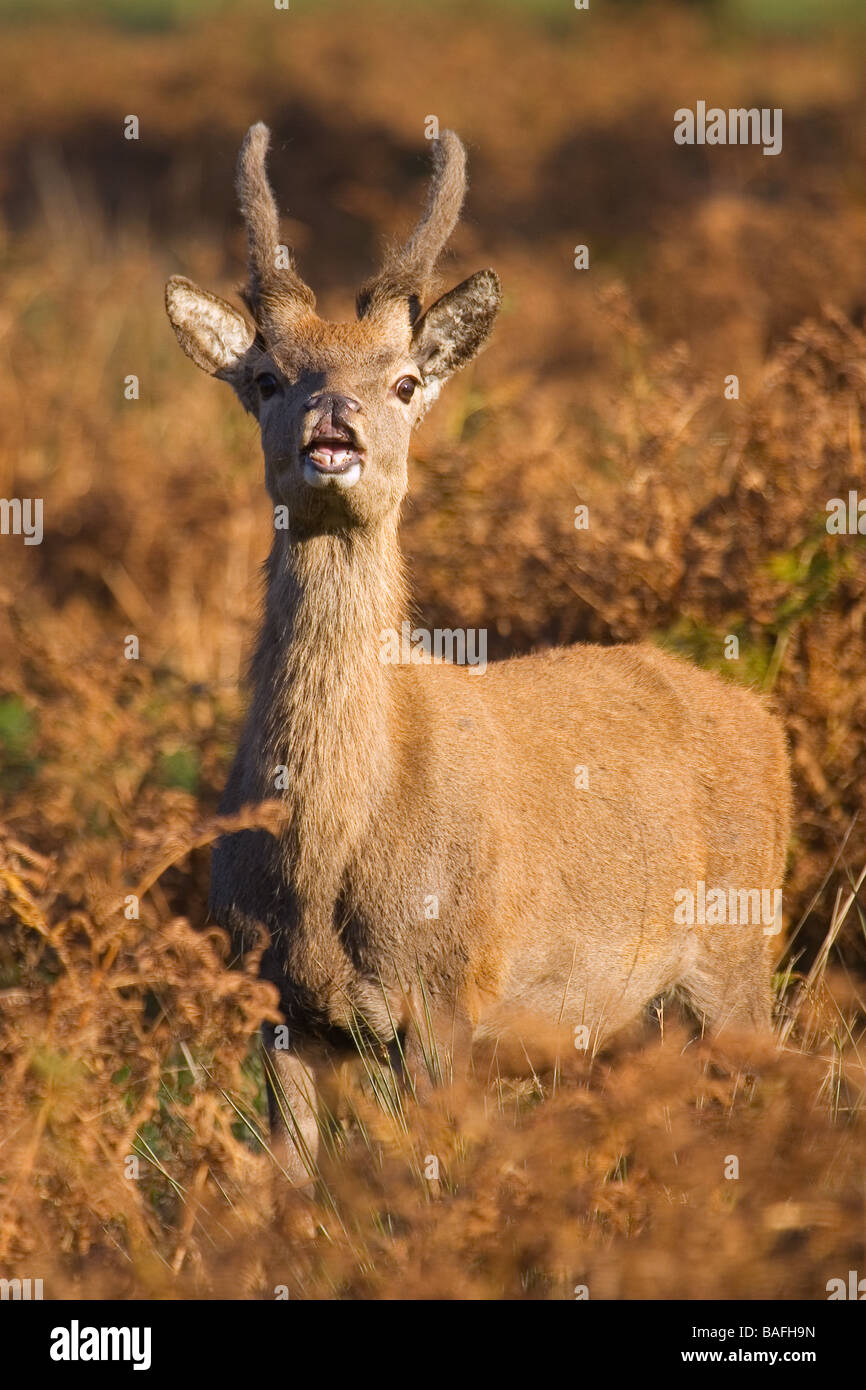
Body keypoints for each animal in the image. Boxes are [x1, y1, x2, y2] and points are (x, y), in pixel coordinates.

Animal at [165, 124, 792, 1185]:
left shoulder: (448, 990)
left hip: (743, 949)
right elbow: (290, 1180)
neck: (325, 857)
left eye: (405, 381)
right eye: (265, 378)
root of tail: (770, 720)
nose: (334, 421)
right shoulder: (270, 1003)